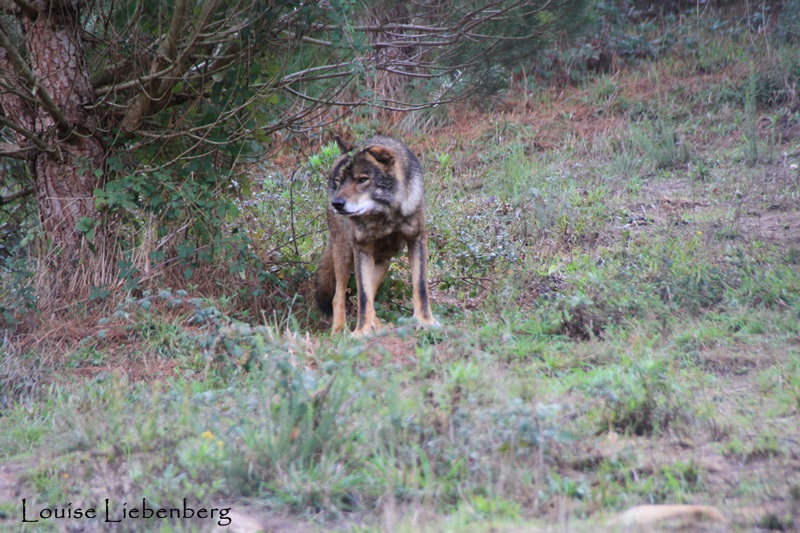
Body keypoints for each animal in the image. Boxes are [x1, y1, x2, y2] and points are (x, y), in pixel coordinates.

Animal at [315, 135, 439, 336]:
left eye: (362, 180)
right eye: (340, 181)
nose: (336, 203)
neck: (385, 216)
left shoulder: (417, 239)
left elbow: (420, 287)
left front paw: (426, 321)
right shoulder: (361, 248)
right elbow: (364, 297)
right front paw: (361, 332)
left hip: (383, 260)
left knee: (369, 293)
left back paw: (379, 326)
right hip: (344, 252)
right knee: (339, 295)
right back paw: (340, 330)